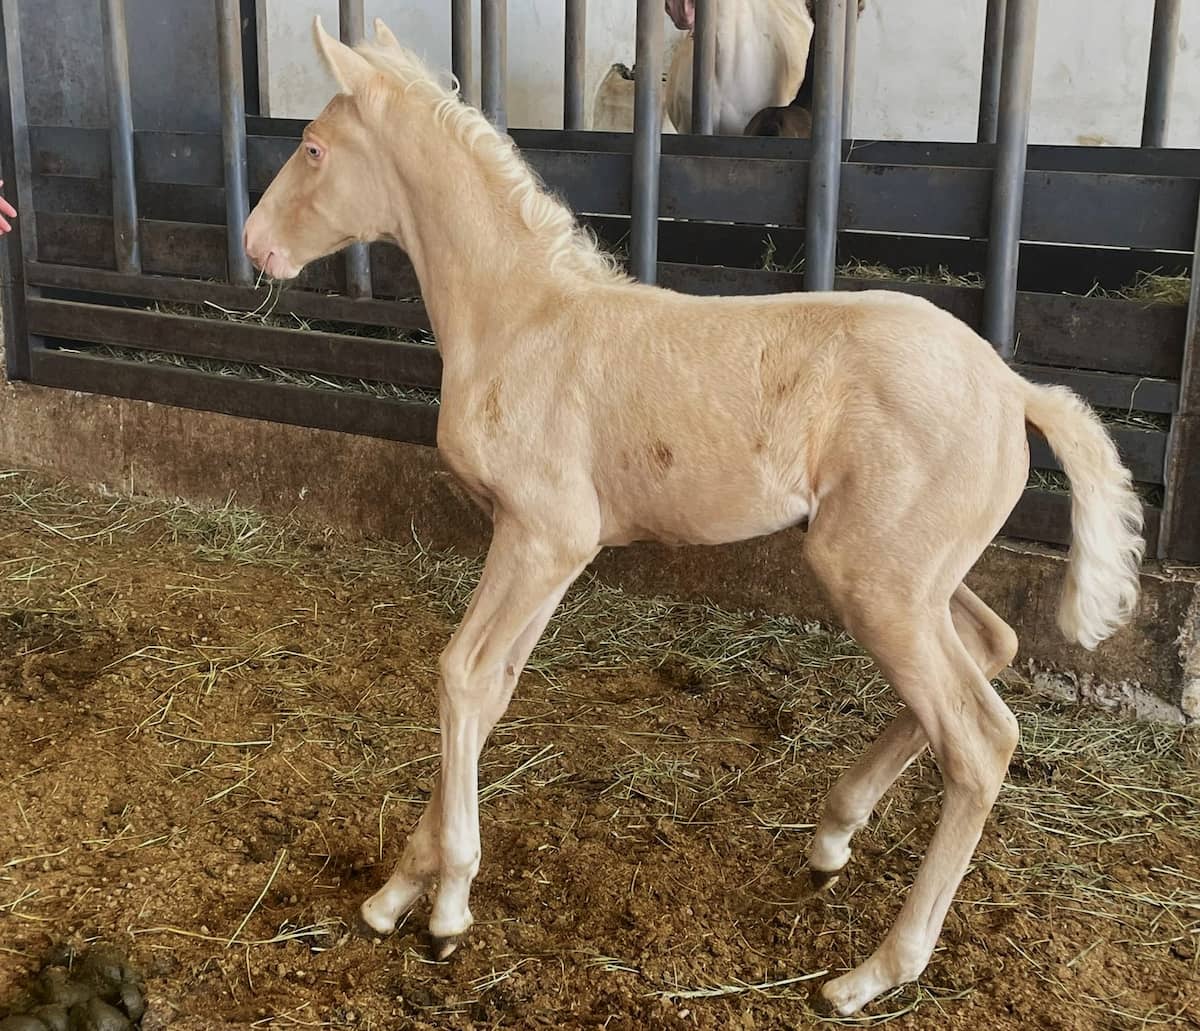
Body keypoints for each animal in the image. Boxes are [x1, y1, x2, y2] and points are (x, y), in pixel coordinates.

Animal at [243, 18, 1144, 1017]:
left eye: (312, 147)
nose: (254, 243)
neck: (523, 318)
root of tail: (1015, 388)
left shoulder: (544, 534)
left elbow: (462, 675)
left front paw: (444, 906)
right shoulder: (546, 549)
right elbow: (494, 685)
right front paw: (398, 888)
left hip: (878, 580)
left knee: (981, 740)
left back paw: (869, 972)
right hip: (915, 572)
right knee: (993, 645)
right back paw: (832, 833)